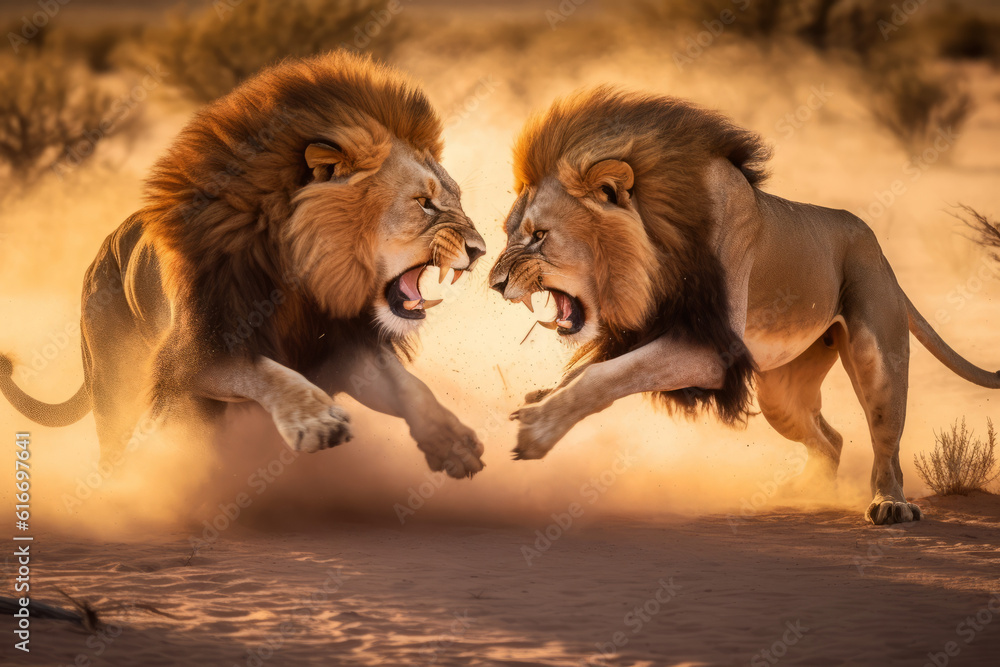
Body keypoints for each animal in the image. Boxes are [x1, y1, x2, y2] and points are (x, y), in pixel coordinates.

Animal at [0, 51, 487, 478]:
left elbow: (409, 387)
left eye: (456, 197)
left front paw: (452, 442)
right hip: (114, 385)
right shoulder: (193, 354)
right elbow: (265, 369)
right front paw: (316, 421)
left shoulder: (342, 345)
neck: (301, 280)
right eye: (422, 203)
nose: (481, 249)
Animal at [489, 86, 1000, 524]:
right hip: (781, 395)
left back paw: (890, 504)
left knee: (886, 443)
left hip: (877, 354)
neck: (658, 244)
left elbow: (605, 375)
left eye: (539, 236)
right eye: (510, 232)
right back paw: (806, 491)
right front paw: (540, 398)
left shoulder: (713, 349)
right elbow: (587, 369)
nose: (494, 284)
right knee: (831, 440)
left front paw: (537, 426)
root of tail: (878, 250)